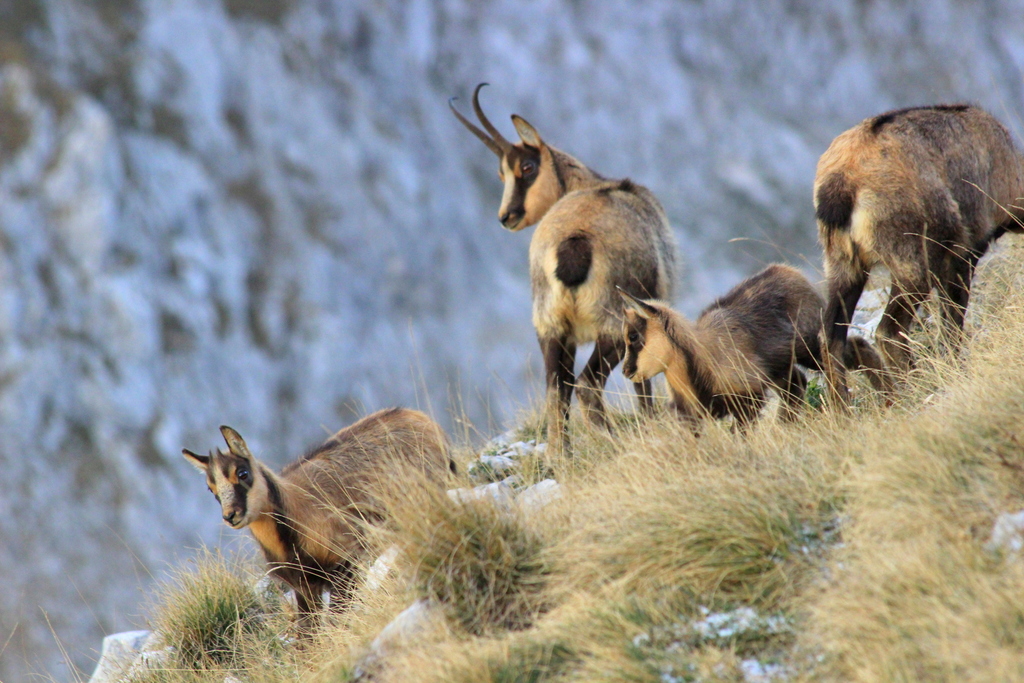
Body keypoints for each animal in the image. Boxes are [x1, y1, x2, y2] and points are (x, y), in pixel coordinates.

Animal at [183, 408, 452, 633]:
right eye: (211, 489)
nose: (231, 516)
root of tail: (419, 417)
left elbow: (334, 620)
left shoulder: (344, 566)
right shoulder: (303, 587)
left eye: (243, 473)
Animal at [451, 83, 678, 456]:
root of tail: (574, 242)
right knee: (587, 384)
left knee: (557, 390)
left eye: (526, 168)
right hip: (613, 324)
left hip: (549, 324)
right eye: (503, 173)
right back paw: (611, 441)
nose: (506, 216)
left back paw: (562, 455)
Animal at [619, 264, 886, 428]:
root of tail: (790, 272)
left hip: (810, 348)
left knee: (851, 348)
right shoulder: (690, 416)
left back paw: (889, 398)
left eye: (634, 336)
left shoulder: (749, 399)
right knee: (797, 385)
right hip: (781, 368)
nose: (626, 371)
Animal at [815, 104, 1024, 401]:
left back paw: (842, 406)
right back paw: (917, 385)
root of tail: (842, 186)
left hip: (842, 264)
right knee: (888, 330)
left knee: (830, 337)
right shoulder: (964, 250)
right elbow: (951, 320)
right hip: (912, 258)